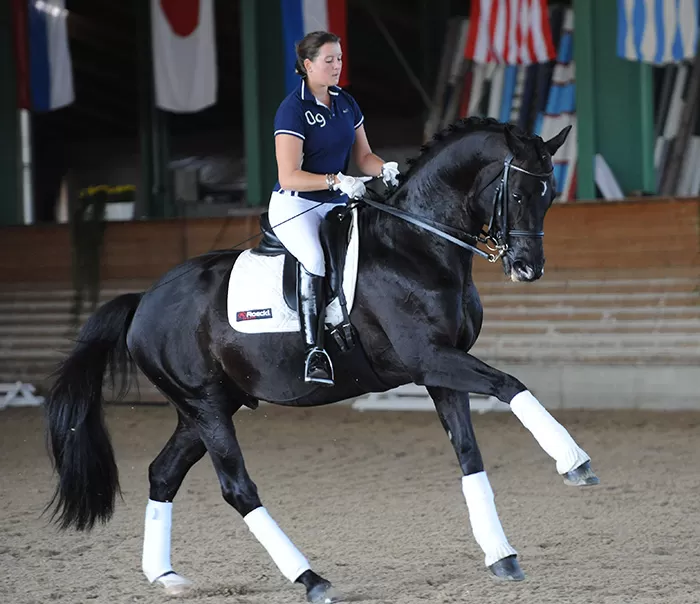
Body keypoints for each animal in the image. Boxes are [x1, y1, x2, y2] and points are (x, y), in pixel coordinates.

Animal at [46, 119, 600, 604]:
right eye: (520, 194)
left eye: (550, 195)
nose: (527, 268)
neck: (417, 245)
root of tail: (144, 301)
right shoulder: (431, 359)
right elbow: (511, 384)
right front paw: (574, 463)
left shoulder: (441, 370)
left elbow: (469, 454)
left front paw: (501, 554)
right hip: (204, 407)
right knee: (238, 489)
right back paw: (310, 578)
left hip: (203, 410)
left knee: (163, 474)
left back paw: (165, 575)